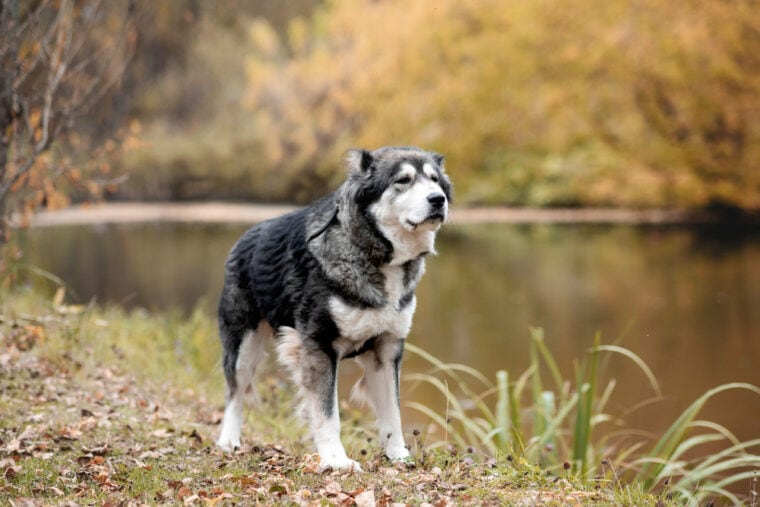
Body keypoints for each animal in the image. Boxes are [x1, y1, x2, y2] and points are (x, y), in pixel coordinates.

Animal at [216, 146, 452, 470]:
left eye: (435, 180)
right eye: (402, 181)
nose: (437, 199)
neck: (372, 253)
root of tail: (247, 234)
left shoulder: (387, 349)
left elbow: (393, 411)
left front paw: (398, 455)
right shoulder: (319, 345)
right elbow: (328, 414)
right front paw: (336, 460)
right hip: (243, 347)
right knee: (234, 393)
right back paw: (228, 440)